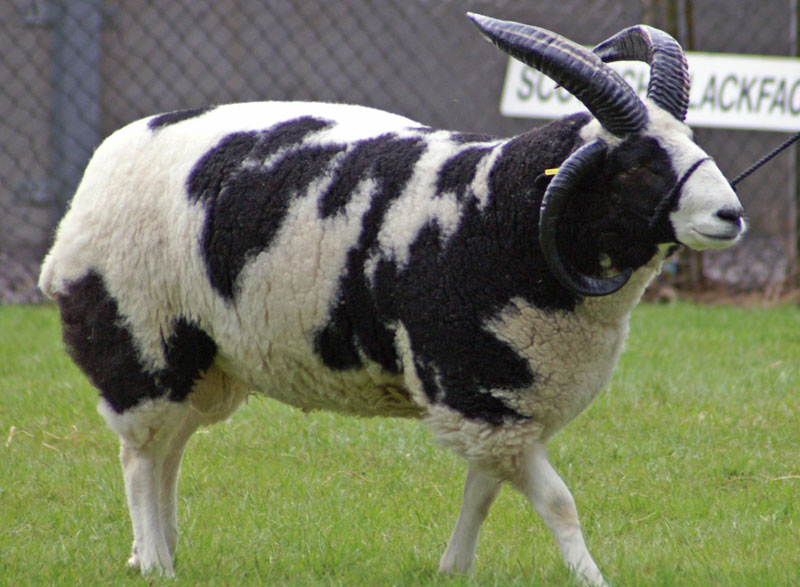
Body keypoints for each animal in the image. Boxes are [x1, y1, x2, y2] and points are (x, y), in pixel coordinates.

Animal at [38, 13, 745, 585]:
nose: (731, 215)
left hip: (204, 360)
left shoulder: (496, 401)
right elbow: (557, 503)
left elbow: (483, 492)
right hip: (138, 342)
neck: (497, 212)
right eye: (635, 164)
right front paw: (592, 578)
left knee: (170, 451)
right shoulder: (474, 386)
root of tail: (101, 166)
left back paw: (156, 552)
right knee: (140, 455)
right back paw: (157, 562)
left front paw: (453, 570)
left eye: (690, 142)